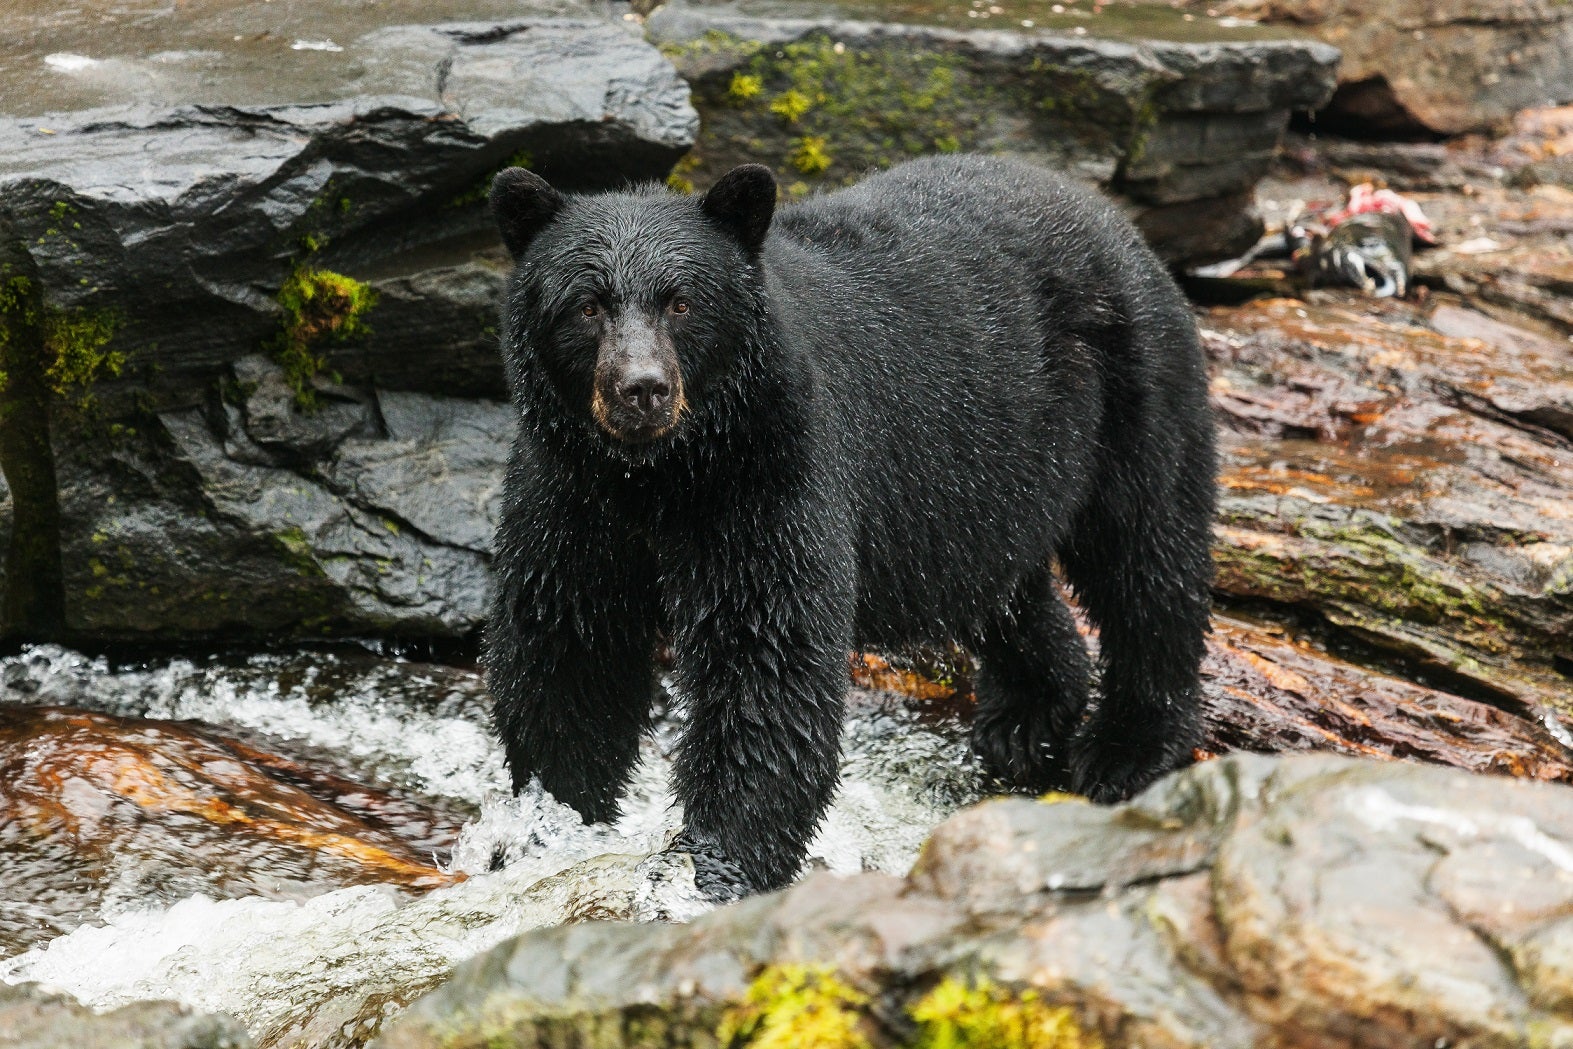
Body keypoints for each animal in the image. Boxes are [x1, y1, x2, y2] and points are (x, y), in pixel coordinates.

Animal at [484, 154, 1216, 899]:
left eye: (682, 301)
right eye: (587, 304)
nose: (642, 389)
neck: (660, 475)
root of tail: (1096, 205)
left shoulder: (772, 469)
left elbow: (767, 660)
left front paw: (712, 868)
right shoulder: (572, 496)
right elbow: (572, 648)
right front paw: (553, 826)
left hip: (1130, 383)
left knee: (1146, 555)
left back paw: (1130, 745)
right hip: (983, 484)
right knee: (1006, 588)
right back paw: (1027, 712)